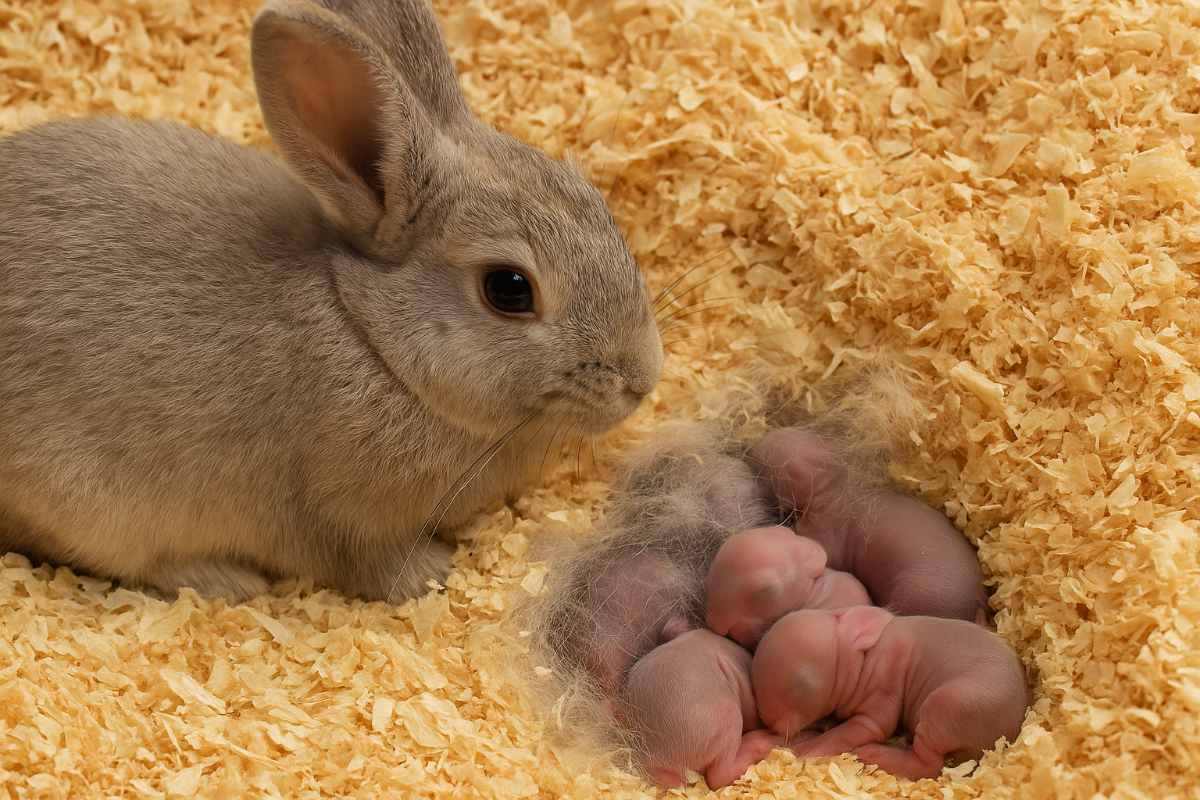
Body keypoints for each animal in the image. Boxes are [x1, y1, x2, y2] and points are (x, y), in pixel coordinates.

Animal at [0, 0, 662, 604]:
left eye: (595, 201)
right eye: (509, 289)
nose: (643, 378)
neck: (372, 337)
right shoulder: (340, 518)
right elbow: (368, 562)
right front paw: (433, 574)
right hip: (85, 503)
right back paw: (223, 580)